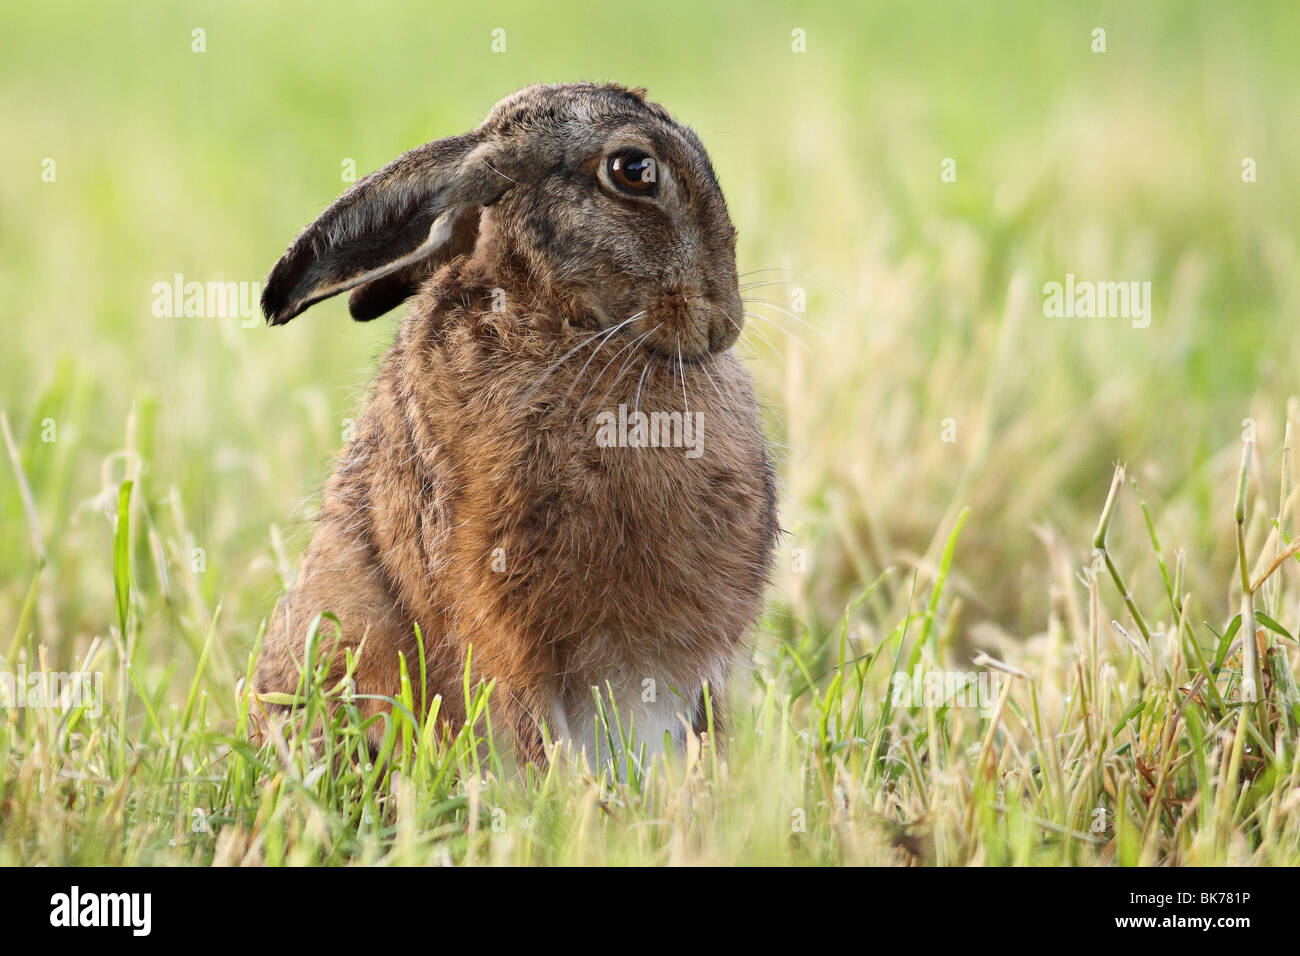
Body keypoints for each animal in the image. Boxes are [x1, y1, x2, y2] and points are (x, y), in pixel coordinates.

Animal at [253, 82, 779, 768]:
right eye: (633, 171)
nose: (725, 321)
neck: (570, 323)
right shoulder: (500, 612)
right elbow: (527, 711)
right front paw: (563, 788)